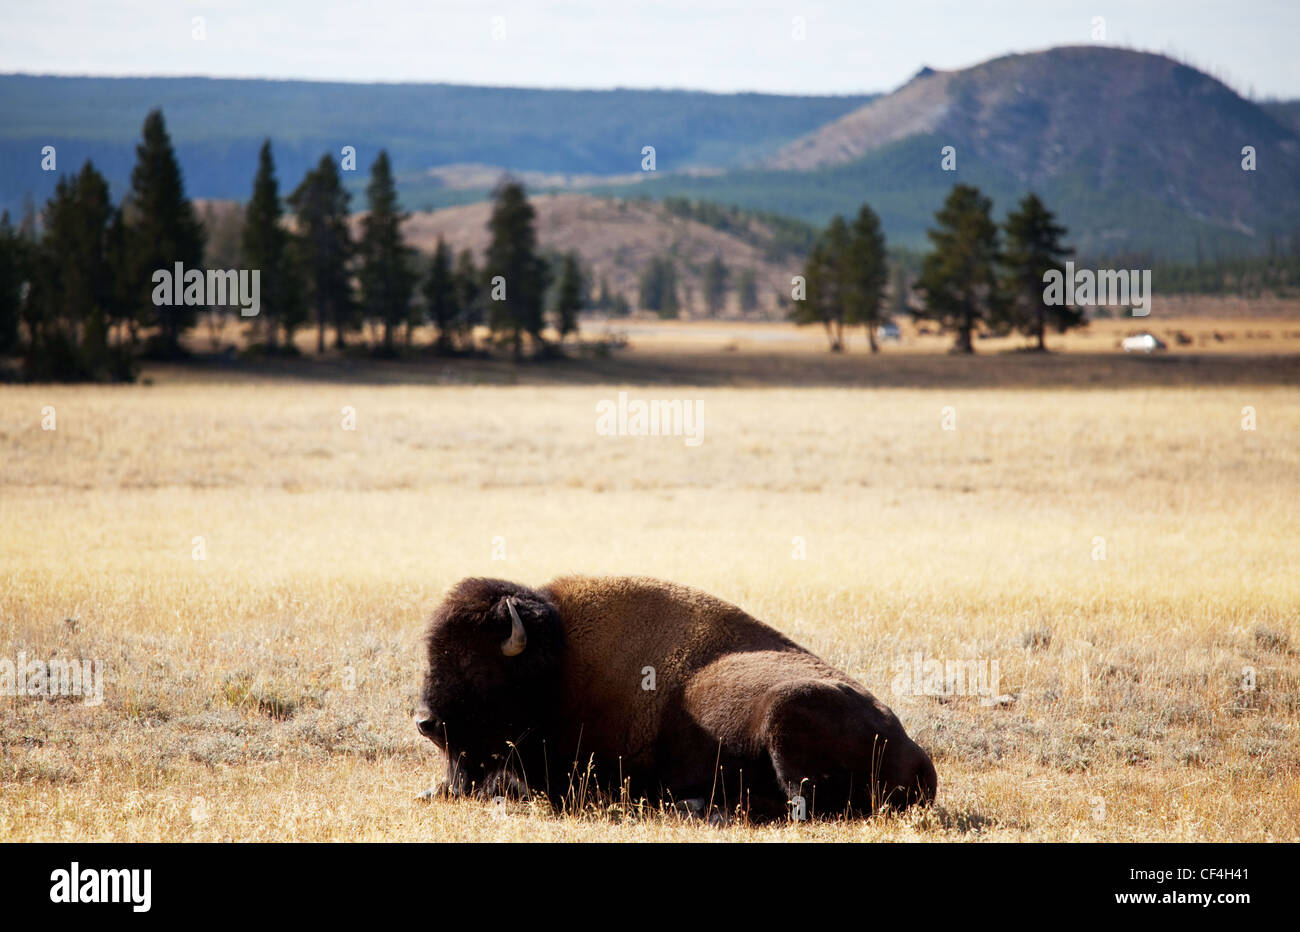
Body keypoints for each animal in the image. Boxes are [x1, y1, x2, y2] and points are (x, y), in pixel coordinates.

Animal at [415, 575, 936, 820]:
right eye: (432, 655)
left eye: (476, 666)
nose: (425, 722)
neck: (559, 665)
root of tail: (917, 752)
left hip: (786, 716)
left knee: (797, 808)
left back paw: (695, 806)